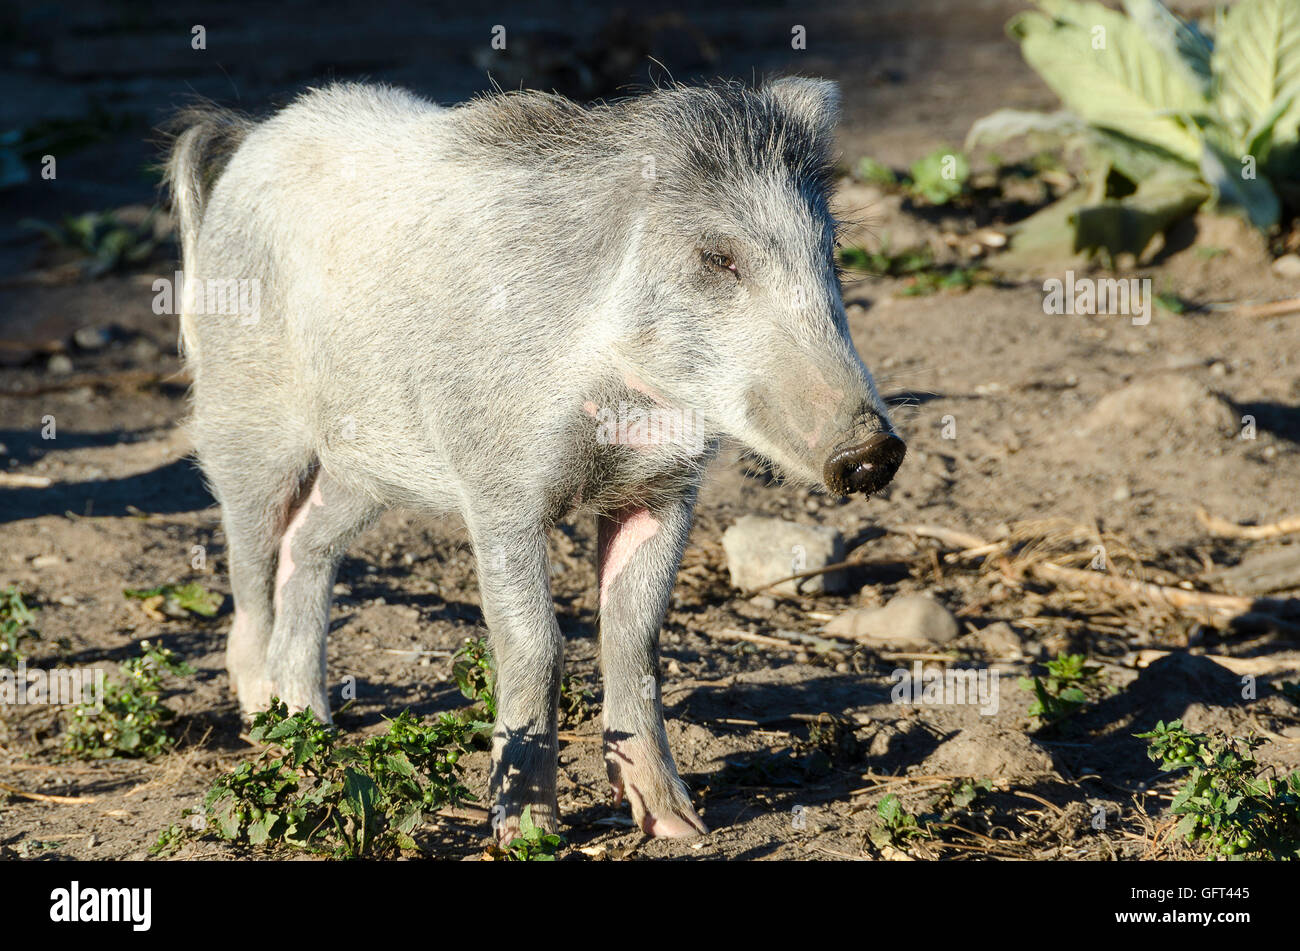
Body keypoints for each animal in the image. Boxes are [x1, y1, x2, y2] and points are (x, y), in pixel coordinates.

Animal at [164, 79, 905, 841]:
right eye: (718, 258)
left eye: (829, 251)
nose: (875, 450)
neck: (623, 401)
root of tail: (254, 136)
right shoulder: (498, 489)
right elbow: (536, 645)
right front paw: (530, 835)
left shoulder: (664, 488)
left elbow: (635, 636)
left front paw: (679, 827)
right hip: (245, 423)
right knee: (249, 562)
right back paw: (260, 714)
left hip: (364, 468)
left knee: (308, 545)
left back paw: (315, 725)